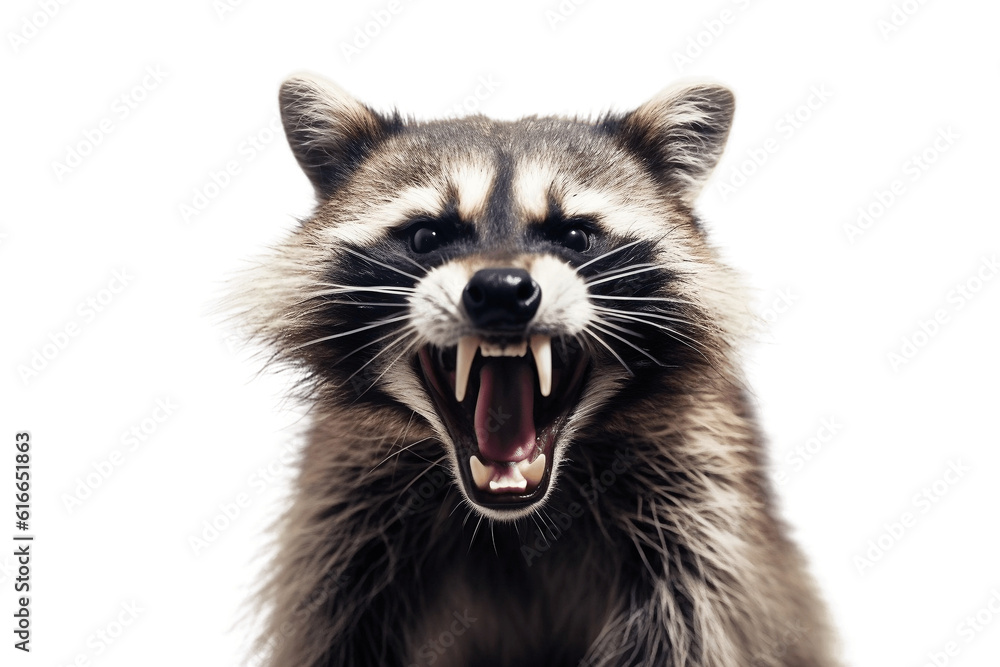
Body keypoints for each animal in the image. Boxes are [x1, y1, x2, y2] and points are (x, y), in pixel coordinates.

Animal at [234, 74, 839, 667]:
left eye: (573, 236)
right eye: (429, 236)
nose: (501, 290)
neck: (516, 519)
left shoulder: (701, 505)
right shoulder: (343, 517)